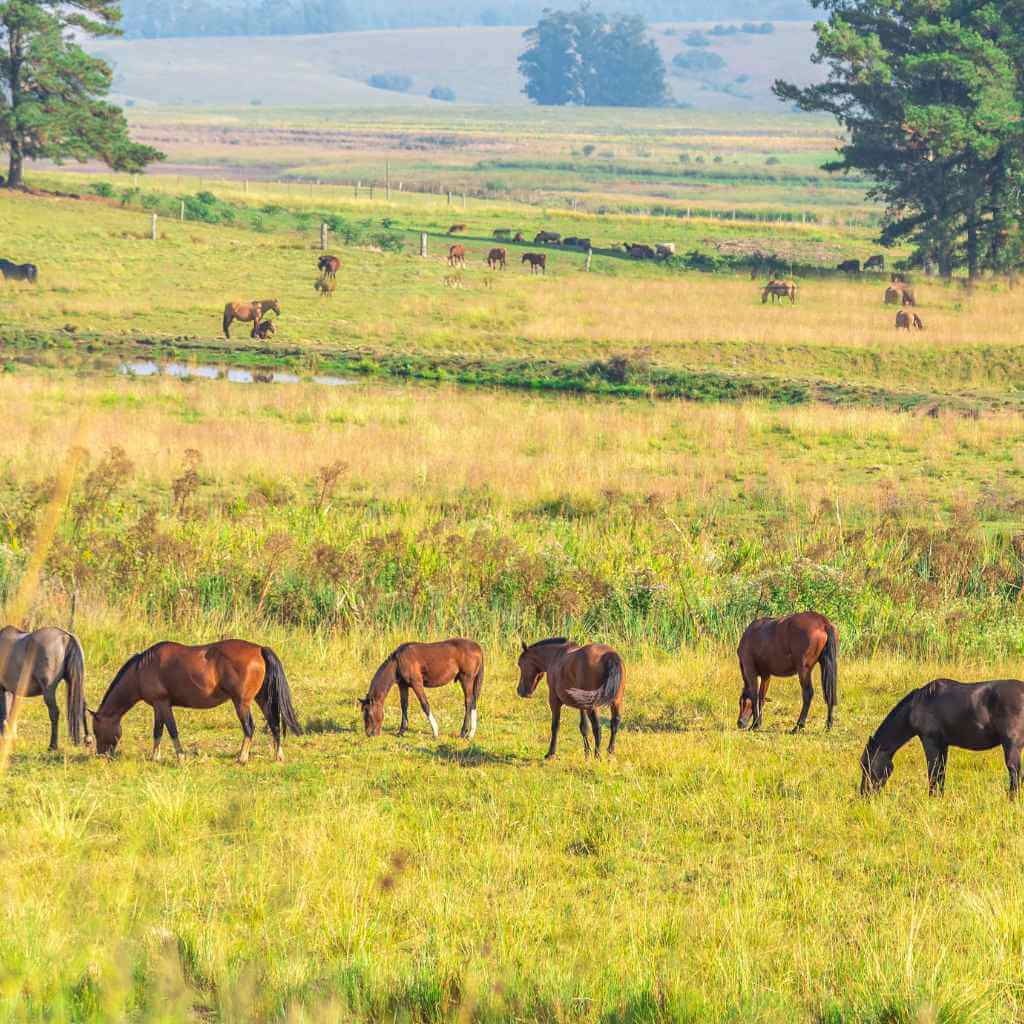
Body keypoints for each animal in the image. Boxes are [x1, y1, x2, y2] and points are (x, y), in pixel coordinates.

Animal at [92, 640, 301, 763]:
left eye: (96, 730)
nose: (101, 755)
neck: (142, 669)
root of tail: (259, 649)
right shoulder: (158, 707)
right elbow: (158, 731)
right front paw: (155, 756)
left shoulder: (163, 704)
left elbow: (172, 730)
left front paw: (180, 757)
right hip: (262, 699)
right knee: (274, 723)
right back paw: (278, 756)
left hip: (241, 703)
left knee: (249, 728)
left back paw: (242, 758)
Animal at [861, 679, 1024, 799]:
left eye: (866, 765)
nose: (864, 795)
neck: (917, 705)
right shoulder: (943, 745)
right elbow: (941, 772)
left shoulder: (930, 742)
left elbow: (933, 771)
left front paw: (932, 797)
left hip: (1011, 746)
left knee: (1014, 772)